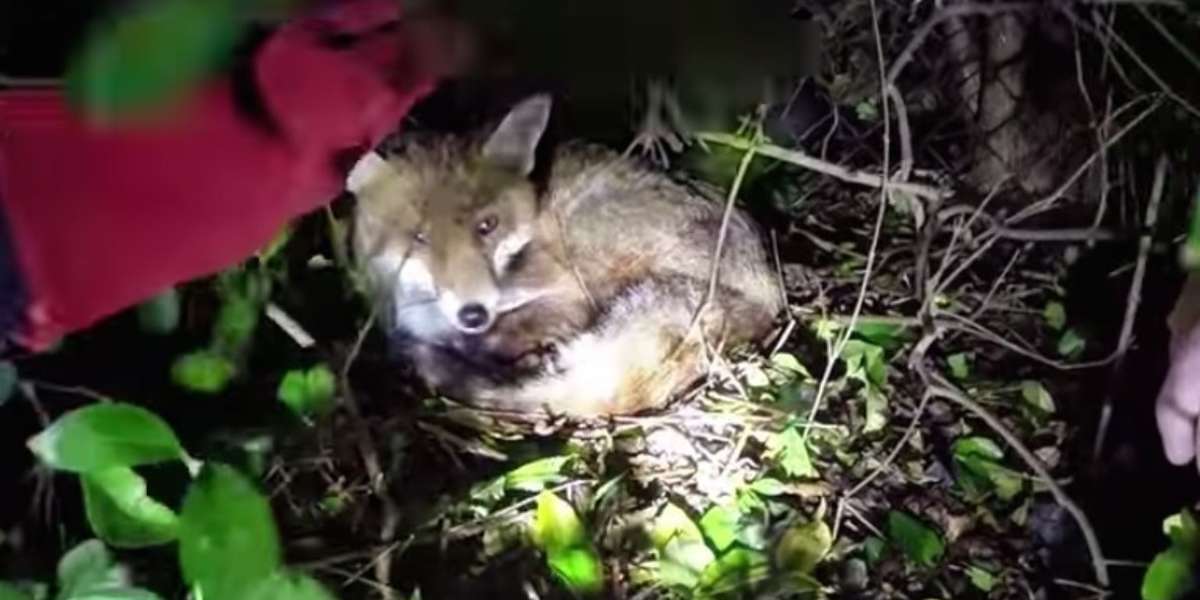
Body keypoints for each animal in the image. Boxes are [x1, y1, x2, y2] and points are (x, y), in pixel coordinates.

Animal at [347, 94, 783, 416]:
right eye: (418, 238)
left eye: (487, 226)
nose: (473, 313)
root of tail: (769, 295)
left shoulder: (562, 291)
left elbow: (504, 335)